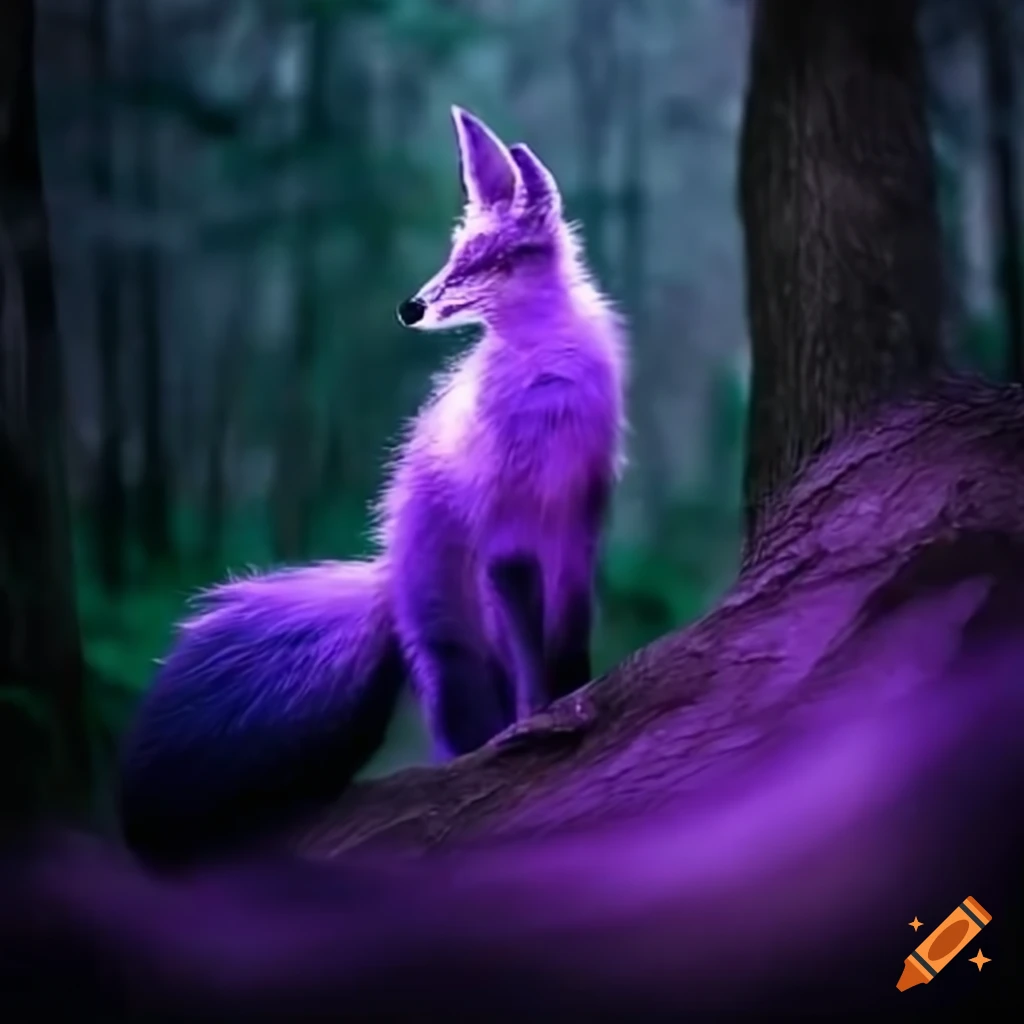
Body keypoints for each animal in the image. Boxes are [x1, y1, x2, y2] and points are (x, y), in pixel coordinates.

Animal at [117, 106, 628, 867]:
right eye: (454, 255)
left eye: (488, 261)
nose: (410, 308)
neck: (545, 397)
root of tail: (384, 572)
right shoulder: (504, 541)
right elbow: (533, 670)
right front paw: (541, 722)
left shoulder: (575, 525)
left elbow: (569, 646)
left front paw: (575, 698)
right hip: (449, 651)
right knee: (461, 735)